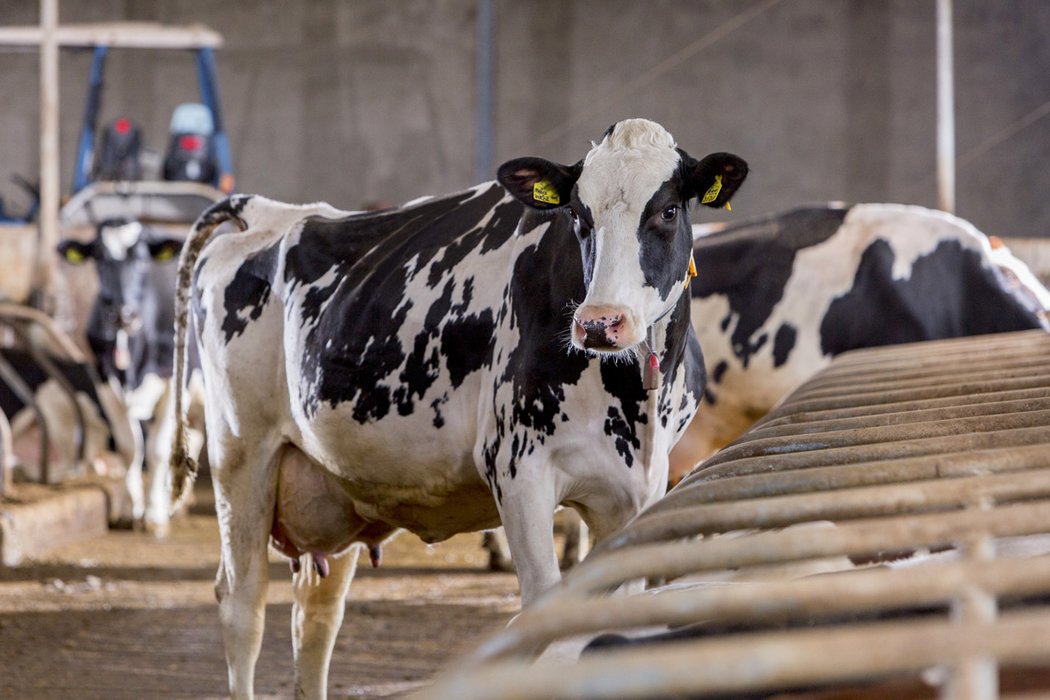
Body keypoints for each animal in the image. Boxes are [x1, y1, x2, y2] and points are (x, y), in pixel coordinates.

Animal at [57, 218, 204, 534]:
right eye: (99, 258)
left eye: (141, 259)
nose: (122, 314)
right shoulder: (104, 379)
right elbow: (129, 447)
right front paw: (130, 508)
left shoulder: (175, 381)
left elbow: (158, 449)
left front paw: (153, 514)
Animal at [166, 118, 746, 698]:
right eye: (579, 216)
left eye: (667, 210)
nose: (601, 323)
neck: (634, 399)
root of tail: (273, 211)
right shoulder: (518, 469)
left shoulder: (638, 491)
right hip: (241, 453)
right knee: (243, 605)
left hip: (325, 475)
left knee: (315, 616)